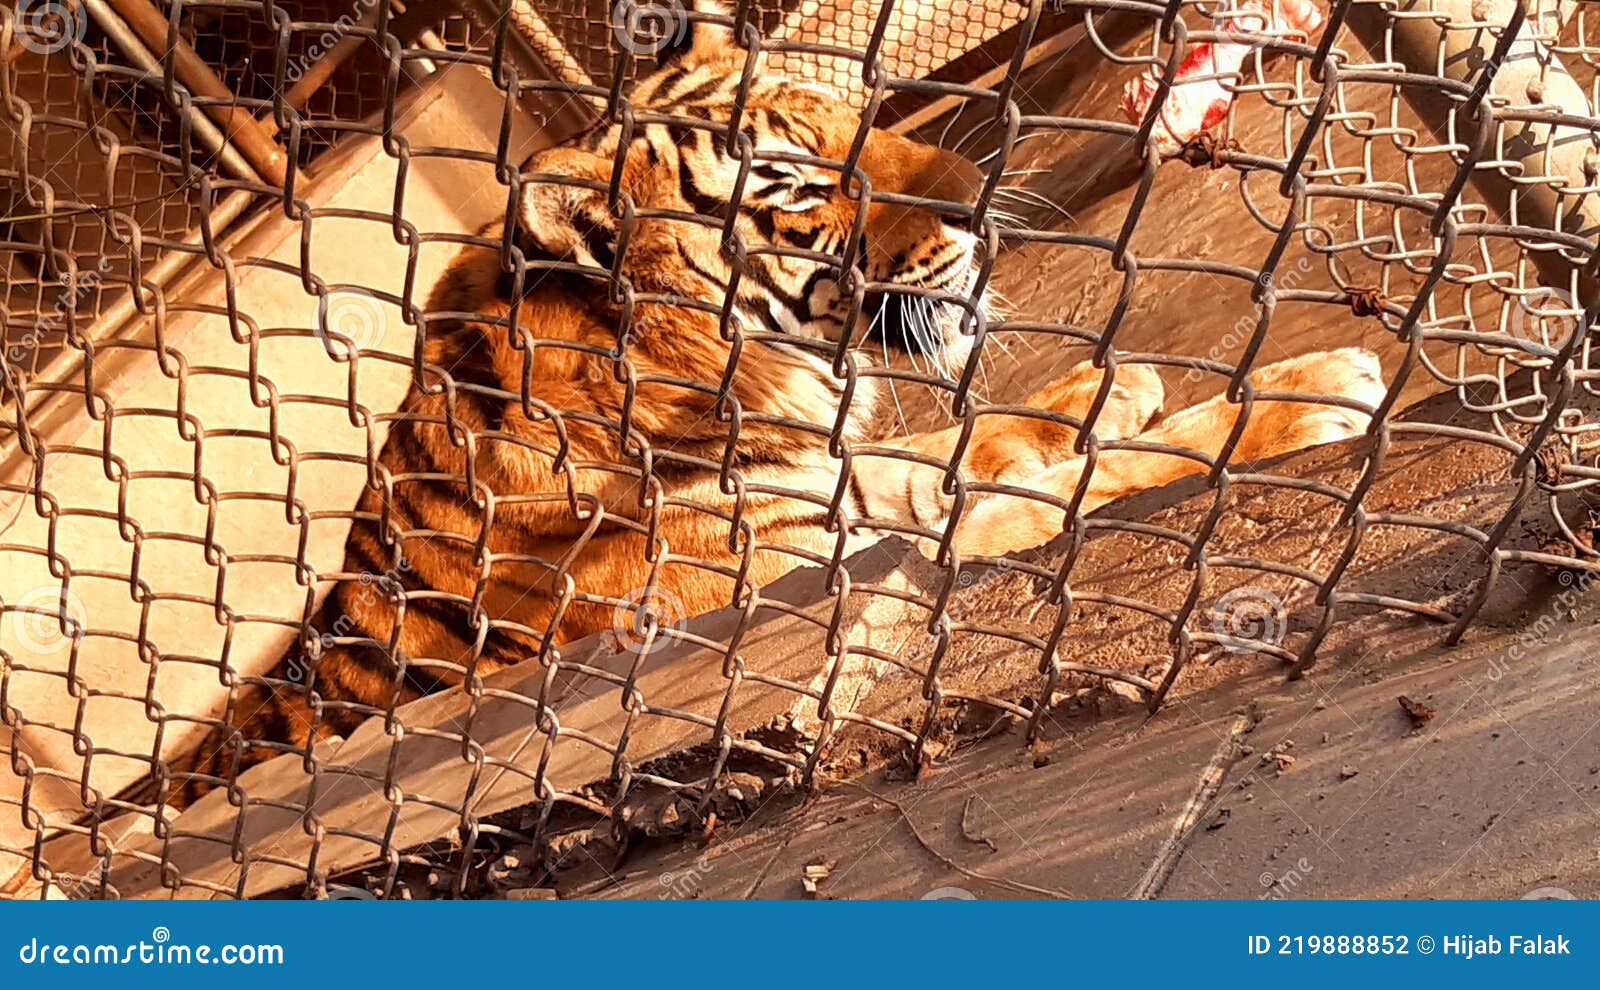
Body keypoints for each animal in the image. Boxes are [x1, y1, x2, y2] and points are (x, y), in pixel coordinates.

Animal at [152, 3, 1386, 808]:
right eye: (792, 185)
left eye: (855, 109)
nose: (980, 199)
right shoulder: (824, 566)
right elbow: (1083, 478)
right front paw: (1318, 392)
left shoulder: (841, 482)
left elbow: (976, 437)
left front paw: (1103, 384)